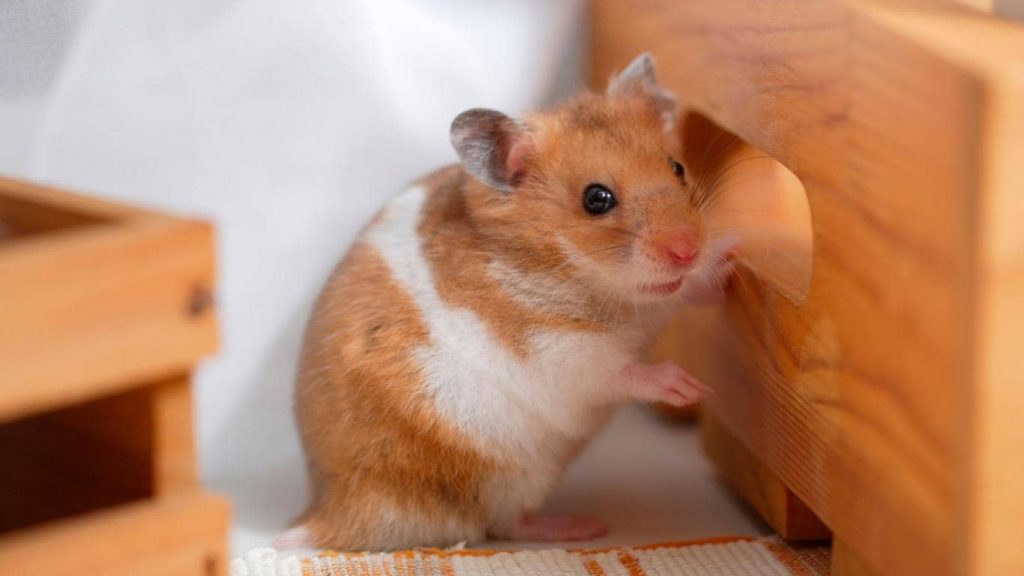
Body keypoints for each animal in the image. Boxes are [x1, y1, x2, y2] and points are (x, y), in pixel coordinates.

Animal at [284, 53, 737, 551]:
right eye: (596, 199)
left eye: (677, 167)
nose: (686, 249)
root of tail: (329, 514)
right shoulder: (559, 355)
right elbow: (618, 371)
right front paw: (688, 387)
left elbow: (685, 291)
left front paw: (729, 265)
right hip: (503, 475)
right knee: (505, 523)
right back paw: (583, 526)